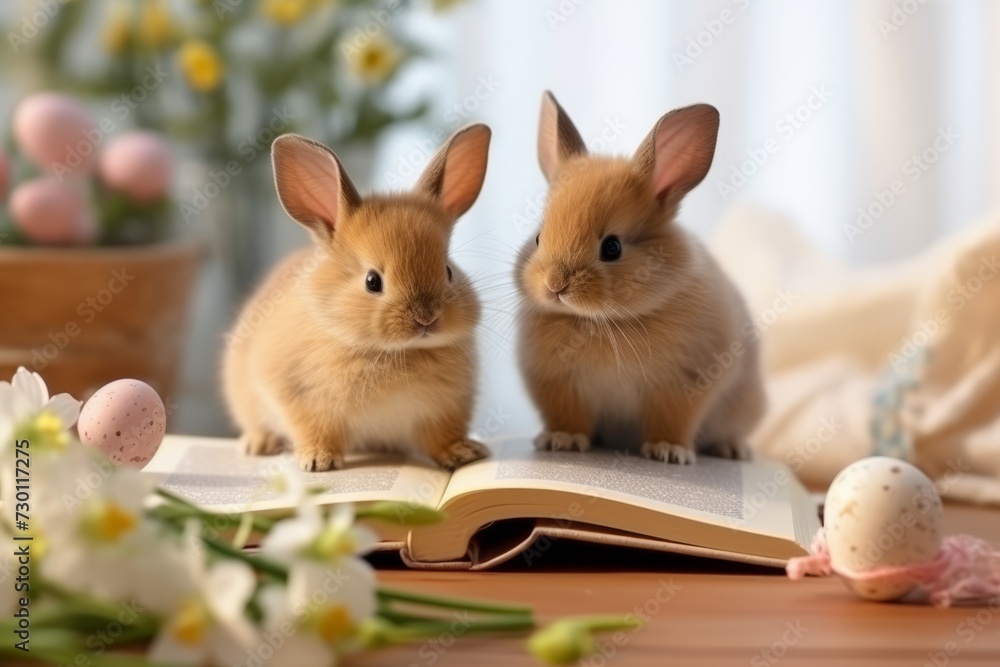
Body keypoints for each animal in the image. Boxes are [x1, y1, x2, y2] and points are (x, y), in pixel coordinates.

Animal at [223, 125, 492, 472]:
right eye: (372, 281)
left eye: (447, 271)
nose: (427, 318)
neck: (396, 352)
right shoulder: (298, 398)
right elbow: (313, 429)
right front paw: (318, 461)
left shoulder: (446, 410)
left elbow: (441, 437)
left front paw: (463, 453)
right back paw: (258, 444)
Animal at [514, 91, 766, 464]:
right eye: (538, 238)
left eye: (612, 247)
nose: (555, 285)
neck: (601, 322)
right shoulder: (558, 386)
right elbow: (568, 418)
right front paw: (562, 440)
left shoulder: (684, 384)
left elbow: (673, 421)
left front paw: (670, 452)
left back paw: (732, 450)